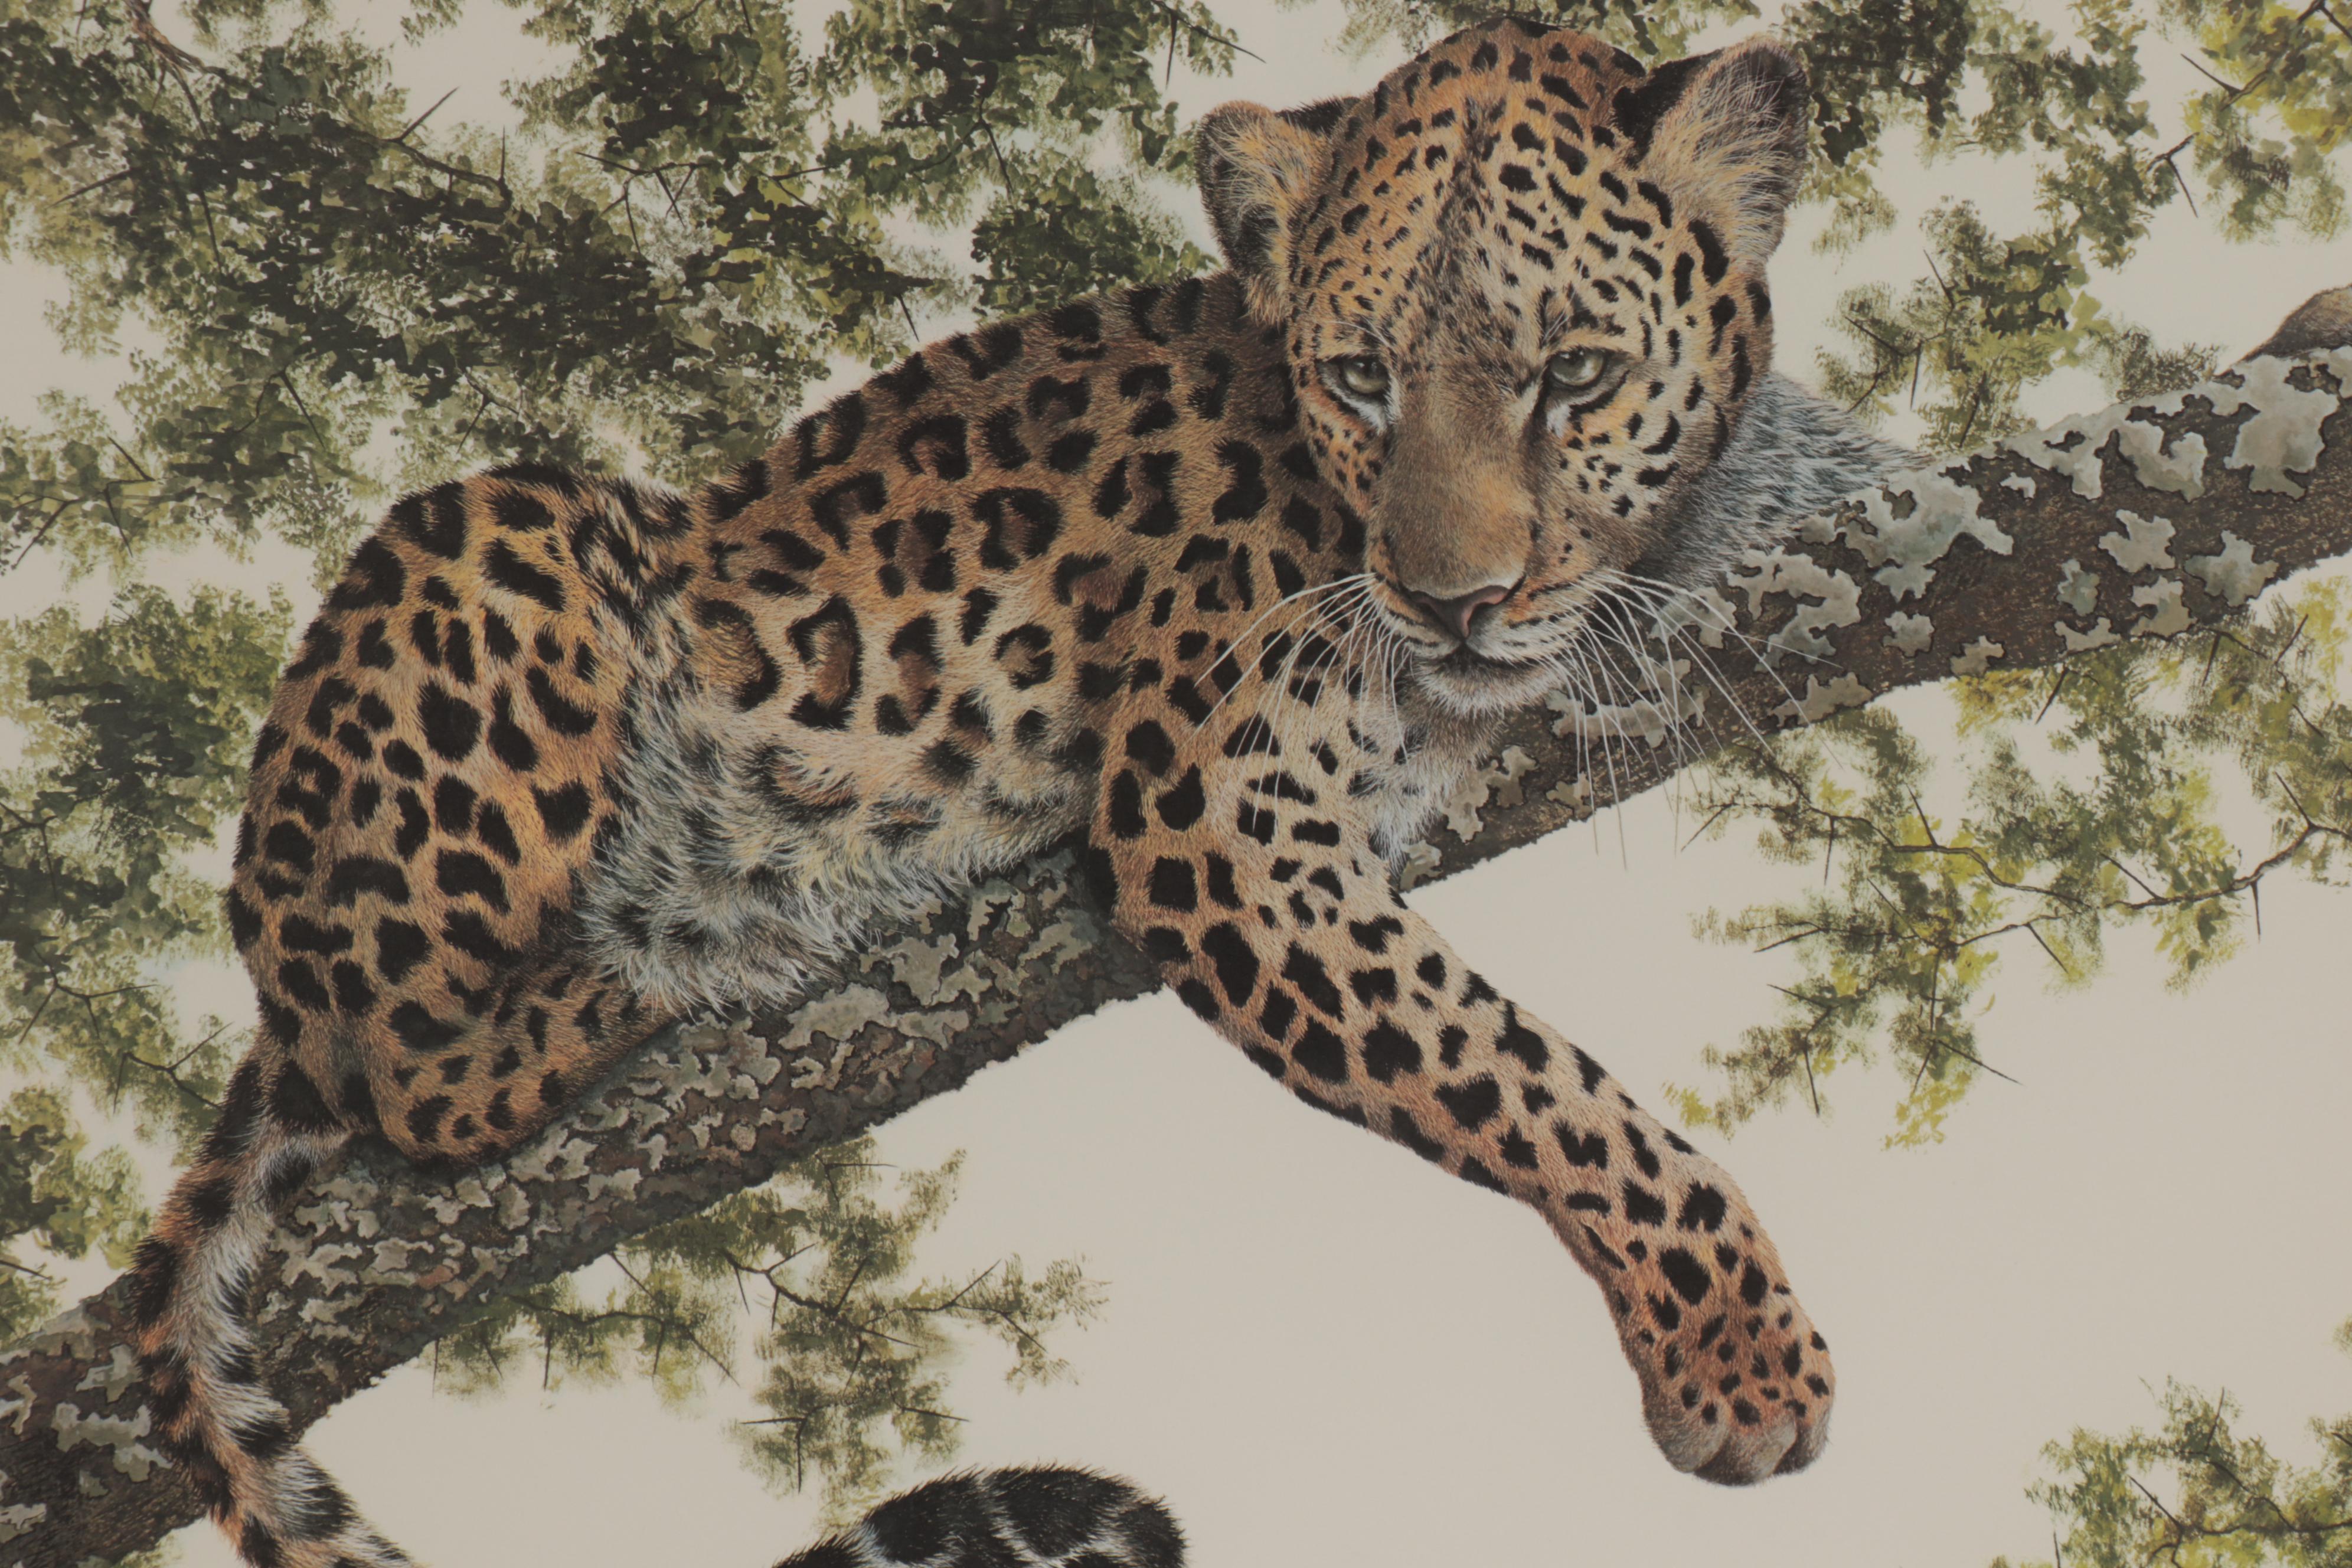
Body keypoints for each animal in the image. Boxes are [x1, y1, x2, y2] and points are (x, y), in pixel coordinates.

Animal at [124, 18, 1914, 1568]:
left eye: (1579, 373)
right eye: (1361, 379)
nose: (1451, 602)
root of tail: (266, 963)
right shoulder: (1210, 815)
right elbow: (1530, 1079)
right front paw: (1740, 1358)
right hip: (504, 542)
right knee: (404, 1070)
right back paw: (662, 961)